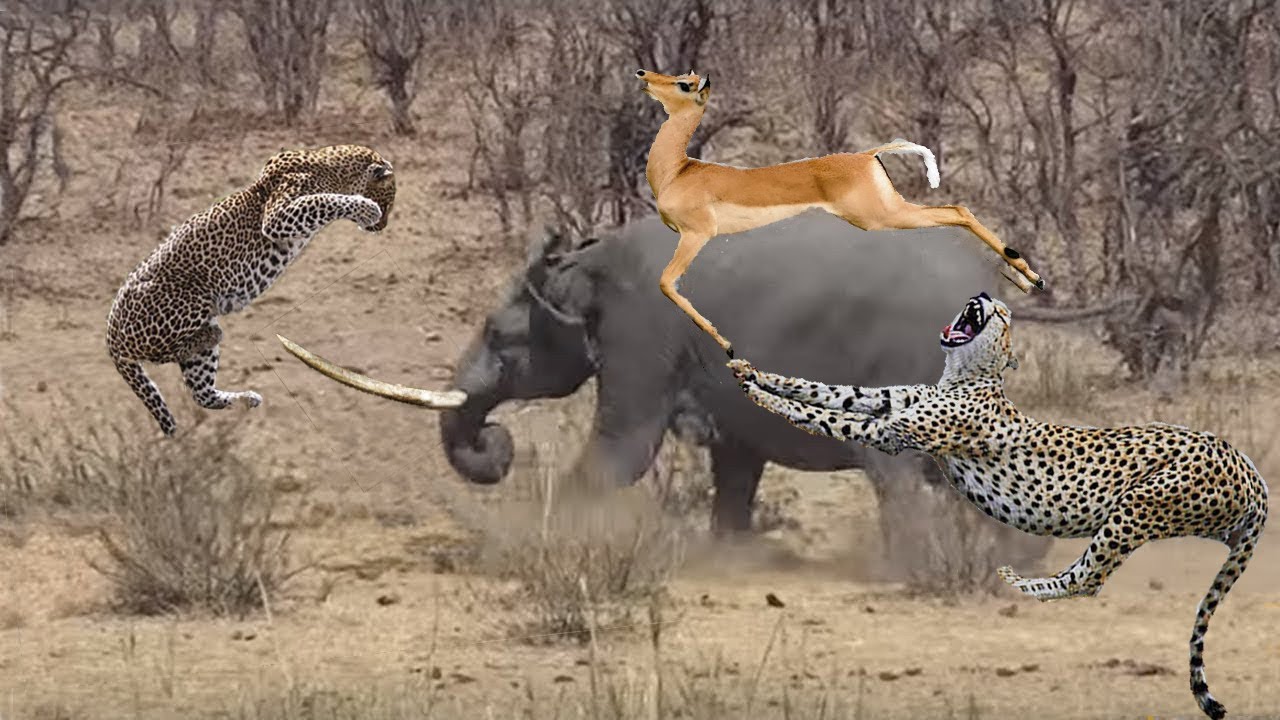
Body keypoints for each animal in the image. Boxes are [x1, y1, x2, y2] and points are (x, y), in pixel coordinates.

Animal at [106, 144, 396, 437]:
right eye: (388, 201)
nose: (382, 226)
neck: (333, 168)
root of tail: (110, 331)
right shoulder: (279, 216)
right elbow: (324, 200)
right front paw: (365, 208)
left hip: (198, 350)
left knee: (201, 393)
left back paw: (245, 397)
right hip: (191, 299)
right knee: (162, 353)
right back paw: (210, 336)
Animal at [282, 211, 1052, 570]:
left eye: (501, 338)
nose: (497, 446)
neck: (588, 259)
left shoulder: (639, 336)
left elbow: (620, 455)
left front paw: (546, 540)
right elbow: (735, 464)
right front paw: (730, 557)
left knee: (895, 477)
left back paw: (908, 571)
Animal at [635, 69, 1045, 358]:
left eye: (684, 83)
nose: (642, 75)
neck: (678, 172)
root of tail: (867, 155)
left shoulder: (697, 235)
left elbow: (665, 283)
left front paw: (729, 345)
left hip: (882, 217)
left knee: (957, 209)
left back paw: (1033, 278)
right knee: (957, 212)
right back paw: (1026, 280)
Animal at [727, 291, 1267, 720]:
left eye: (1004, 315)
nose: (985, 295)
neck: (964, 374)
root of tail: (1245, 463)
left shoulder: (891, 432)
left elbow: (823, 415)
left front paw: (762, 396)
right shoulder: (889, 401)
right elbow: (825, 390)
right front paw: (750, 371)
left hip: (1136, 507)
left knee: (1087, 580)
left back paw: (1016, 582)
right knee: (1088, 579)